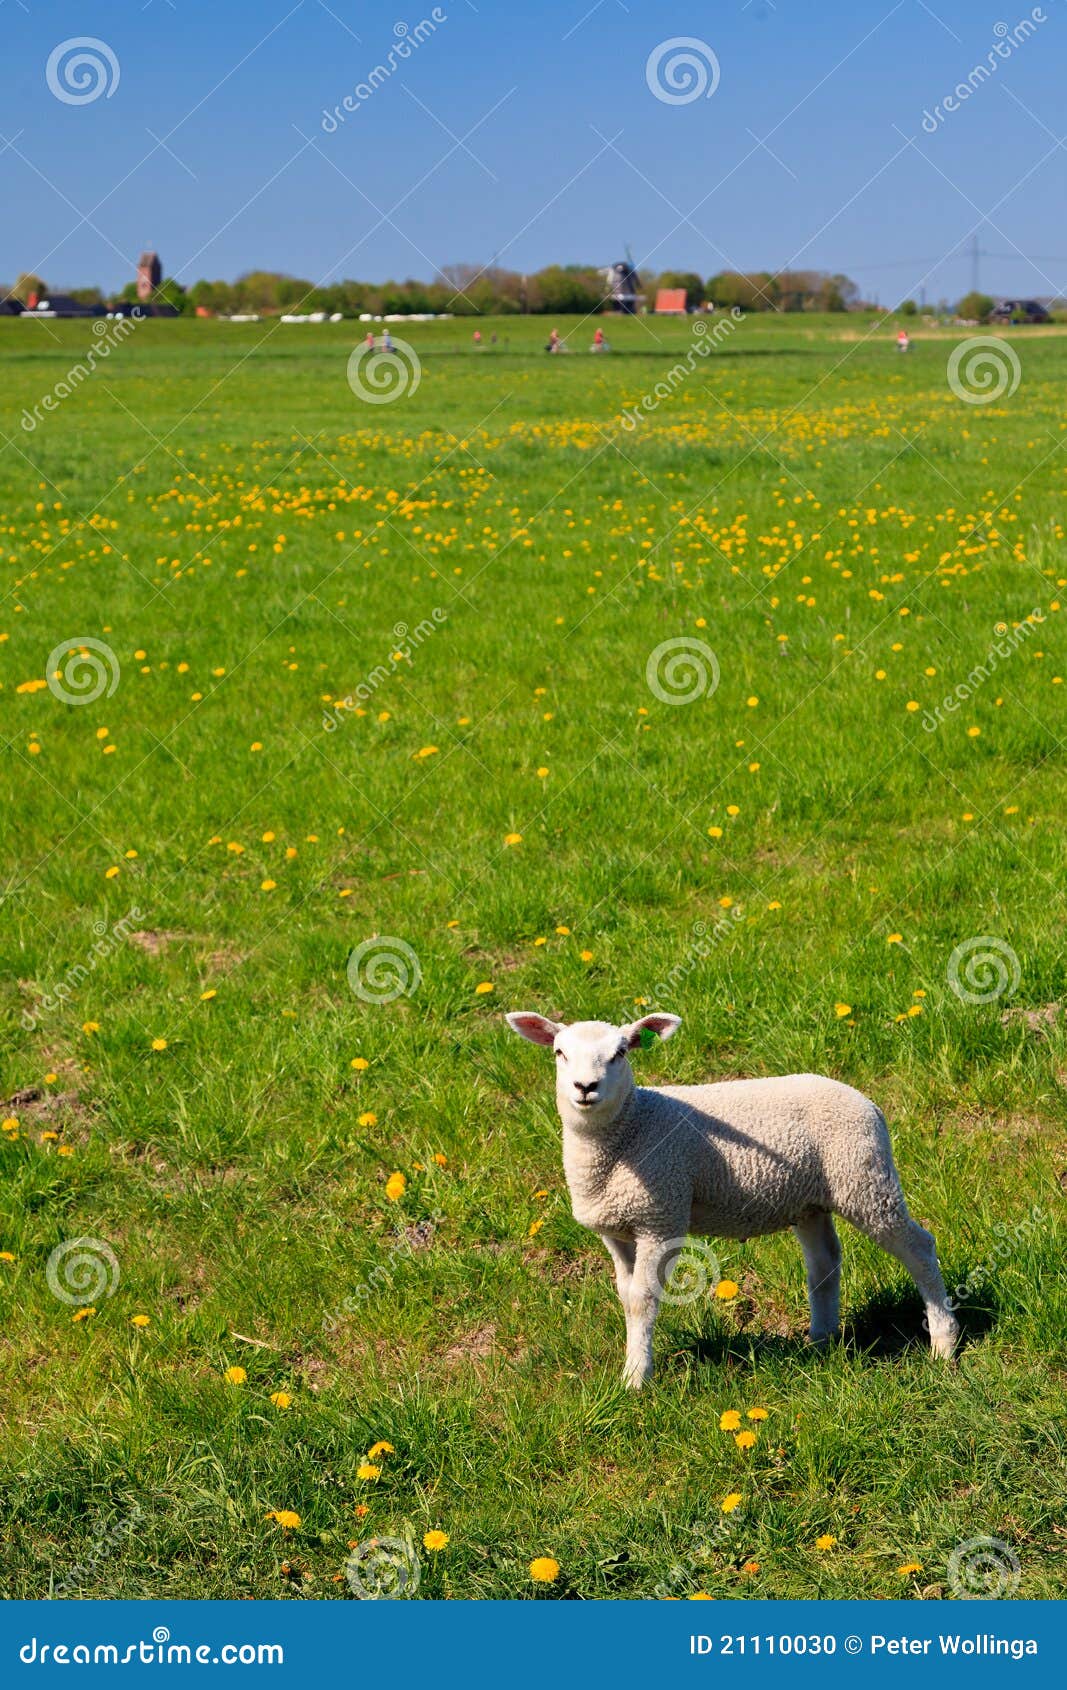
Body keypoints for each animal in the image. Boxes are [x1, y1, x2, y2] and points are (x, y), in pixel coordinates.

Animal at [505, 1010, 959, 1389]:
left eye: (620, 1053)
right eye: (560, 1052)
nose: (585, 1087)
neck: (630, 1128)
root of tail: (868, 1103)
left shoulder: (660, 1217)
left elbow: (643, 1301)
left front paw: (635, 1379)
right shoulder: (617, 1232)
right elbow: (626, 1297)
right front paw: (634, 1365)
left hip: (865, 1179)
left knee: (919, 1248)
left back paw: (944, 1342)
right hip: (812, 1199)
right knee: (825, 1262)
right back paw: (821, 1341)